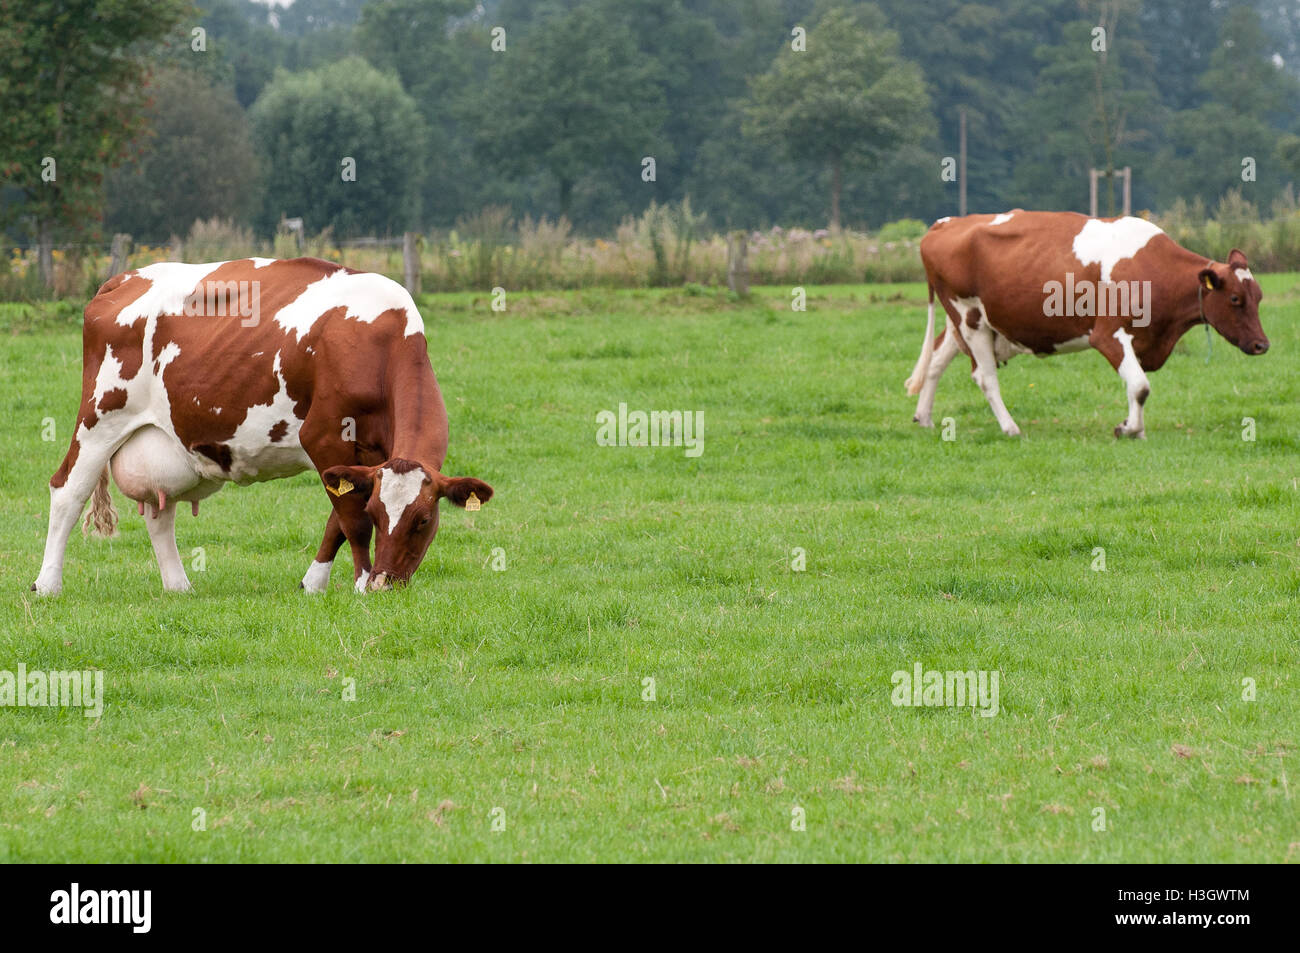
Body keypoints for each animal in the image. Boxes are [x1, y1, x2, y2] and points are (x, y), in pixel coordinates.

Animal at [31, 257, 493, 596]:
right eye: (379, 513)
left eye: (423, 520)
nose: (385, 584)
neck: (379, 343)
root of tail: (124, 278)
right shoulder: (323, 437)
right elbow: (350, 520)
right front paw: (360, 584)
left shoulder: (368, 458)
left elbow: (338, 518)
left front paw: (314, 583)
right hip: (100, 419)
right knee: (67, 491)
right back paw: (48, 584)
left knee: (160, 514)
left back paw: (179, 586)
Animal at [904, 210, 1268, 437]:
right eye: (1235, 299)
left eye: (1259, 296)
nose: (1262, 344)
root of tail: (945, 223)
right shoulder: (1107, 335)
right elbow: (1140, 386)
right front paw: (1130, 429)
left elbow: (1135, 386)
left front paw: (1131, 424)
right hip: (969, 319)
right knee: (985, 376)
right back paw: (1010, 428)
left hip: (969, 321)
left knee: (935, 361)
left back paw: (924, 418)